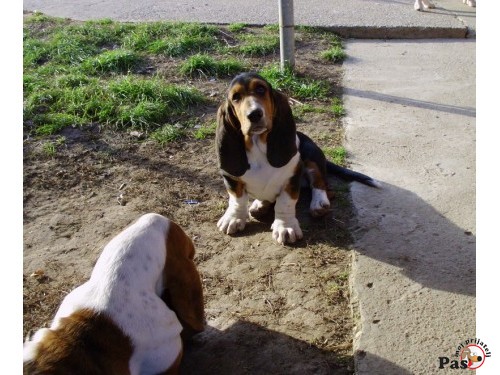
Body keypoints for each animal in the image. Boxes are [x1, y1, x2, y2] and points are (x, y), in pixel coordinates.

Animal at [215, 72, 378, 245]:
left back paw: (319, 204)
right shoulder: (231, 178)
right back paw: (260, 205)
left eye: (260, 89)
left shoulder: (292, 177)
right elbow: (237, 199)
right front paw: (233, 219)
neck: (258, 144)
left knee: (322, 184)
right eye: (236, 97)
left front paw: (285, 227)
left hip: (311, 154)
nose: (254, 114)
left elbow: (285, 203)